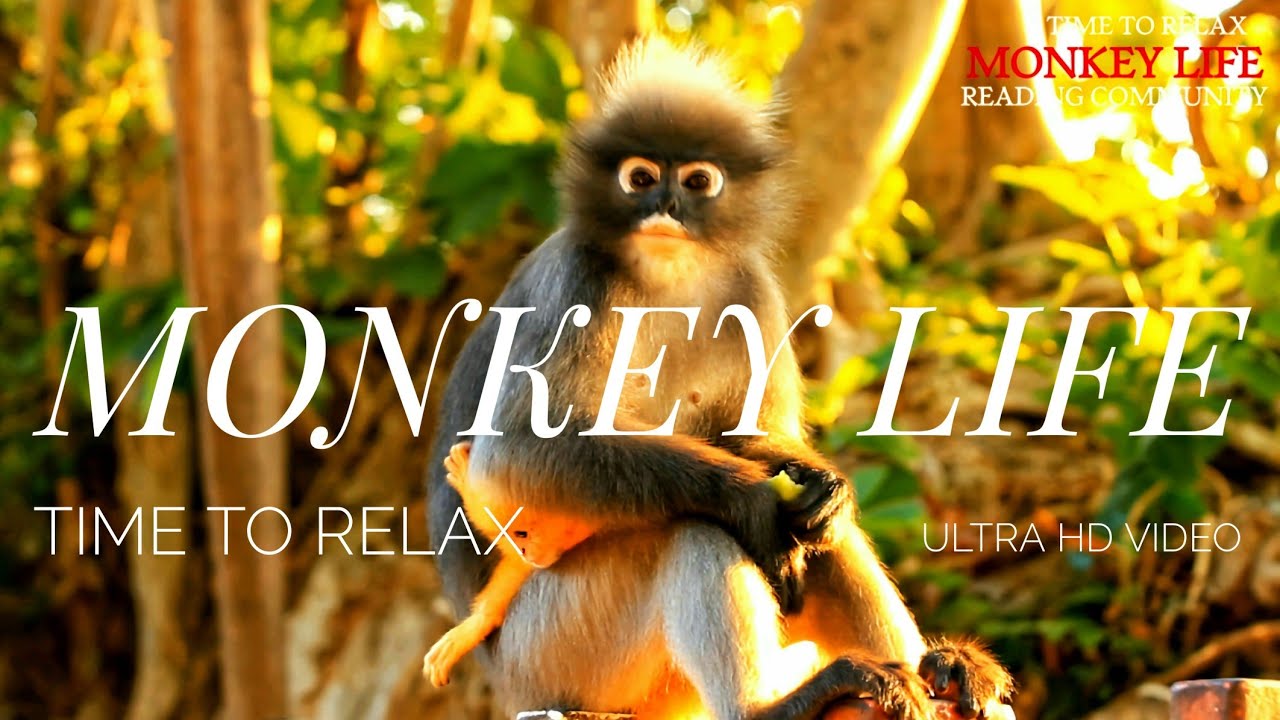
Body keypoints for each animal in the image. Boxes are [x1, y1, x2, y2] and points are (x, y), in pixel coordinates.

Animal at [427, 37, 1013, 720]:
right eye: (640, 178)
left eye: (698, 181)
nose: (666, 208)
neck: (668, 277)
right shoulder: (572, 282)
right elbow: (518, 451)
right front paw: (752, 499)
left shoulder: (753, 287)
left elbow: (756, 445)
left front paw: (826, 484)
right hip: (554, 652)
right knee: (694, 528)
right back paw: (777, 703)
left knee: (823, 533)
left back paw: (943, 670)